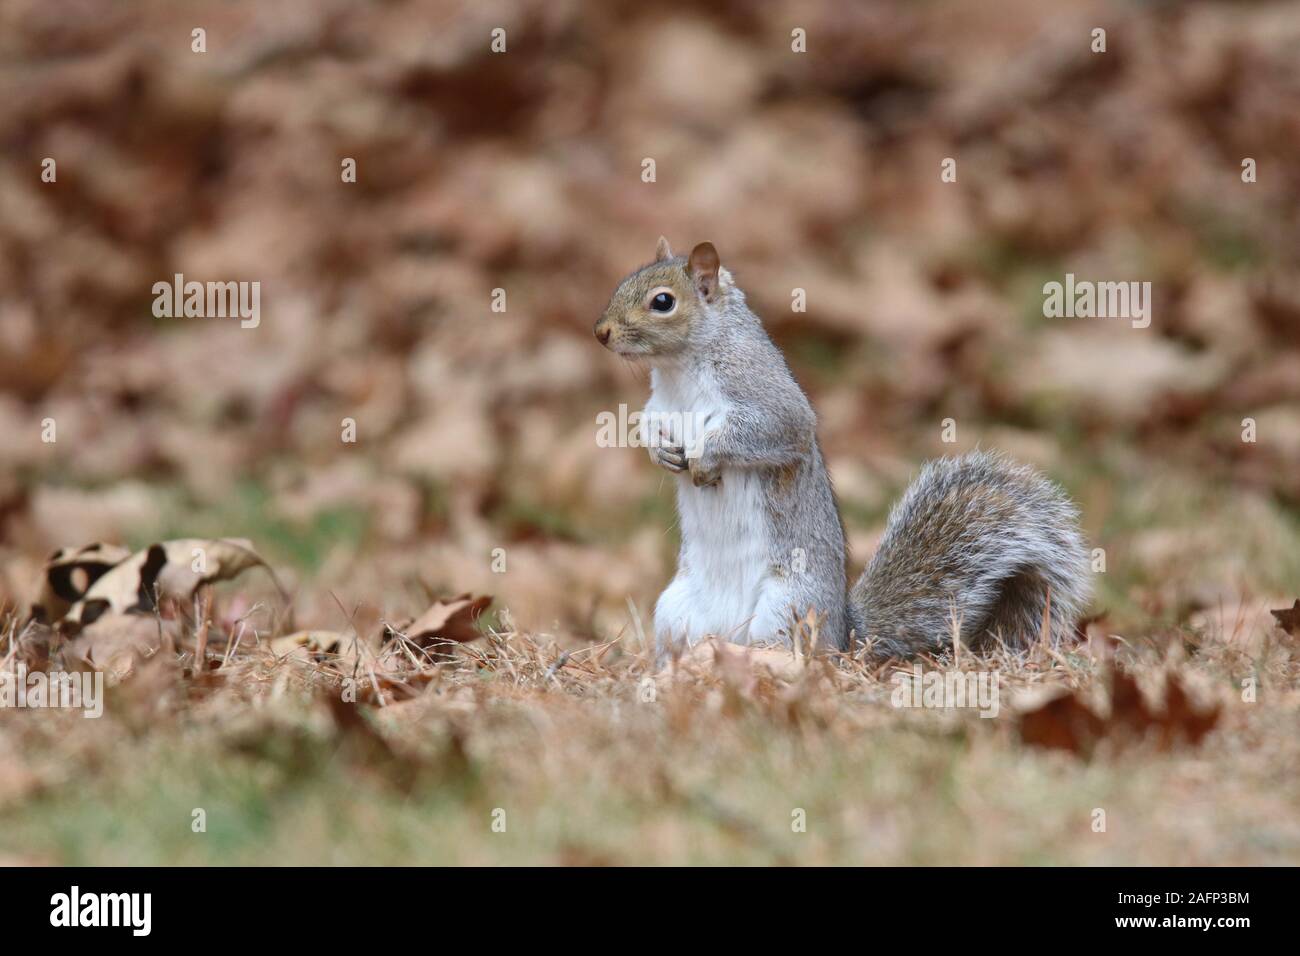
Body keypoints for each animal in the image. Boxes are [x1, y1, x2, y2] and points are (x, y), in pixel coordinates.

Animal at [594, 238, 1091, 659]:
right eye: (621, 283)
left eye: (663, 301)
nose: (601, 331)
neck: (678, 369)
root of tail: (846, 634)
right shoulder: (660, 408)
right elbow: (647, 427)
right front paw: (661, 455)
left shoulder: (766, 396)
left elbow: (772, 429)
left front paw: (705, 458)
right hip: (674, 612)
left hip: (789, 605)